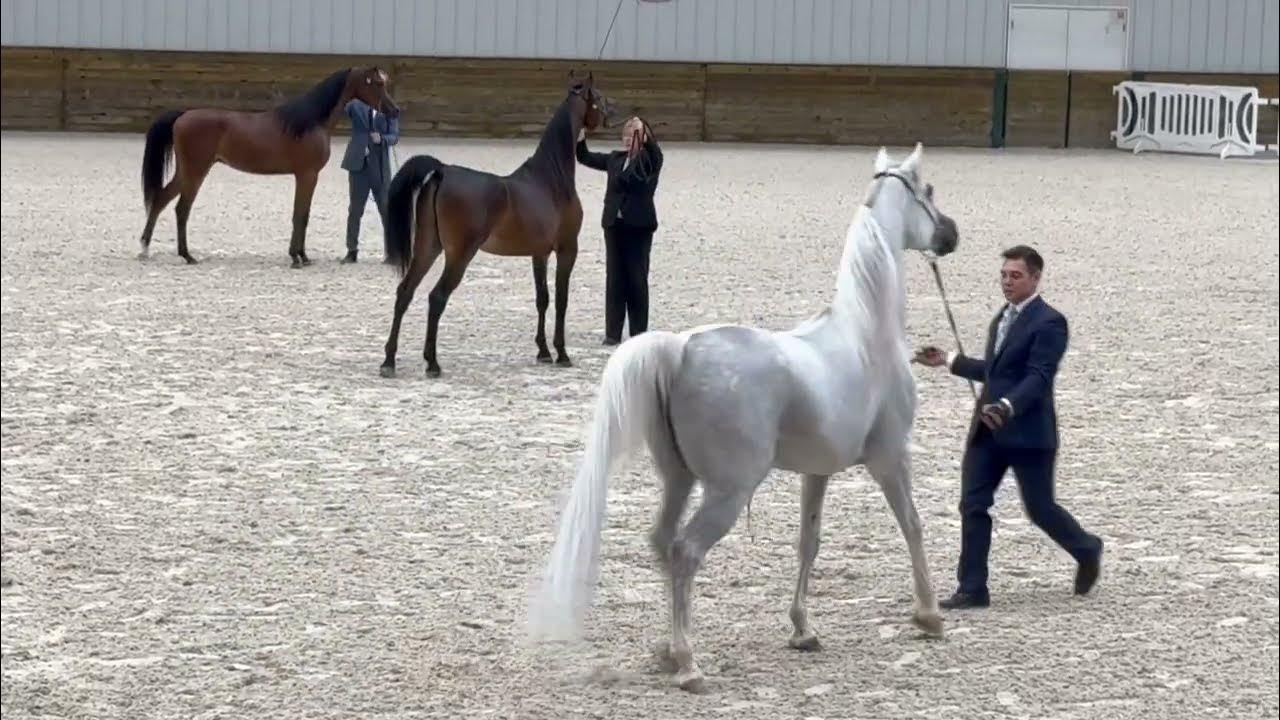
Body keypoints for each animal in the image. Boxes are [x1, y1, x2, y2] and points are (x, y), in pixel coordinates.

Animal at [137, 66, 398, 268]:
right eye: (377, 84)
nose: (395, 110)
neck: (310, 123)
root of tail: (183, 115)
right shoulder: (306, 175)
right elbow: (300, 215)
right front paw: (296, 258)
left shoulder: (306, 176)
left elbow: (304, 215)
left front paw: (303, 256)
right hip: (196, 171)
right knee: (182, 209)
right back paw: (187, 256)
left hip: (185, 171)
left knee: (160, 199)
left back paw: (145, 249)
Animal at [378, 70, 617, 378]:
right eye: (598, 97)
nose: (614, 113)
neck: (551, 180)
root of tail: (442, 171)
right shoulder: (567, 249)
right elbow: (561, 300)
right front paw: (561, 353)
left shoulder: (539, 252)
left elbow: (542, 298)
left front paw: (543, 352)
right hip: (459, 255)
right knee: (436, 297)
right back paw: (432, 363)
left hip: (428, 247)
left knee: (405, 292)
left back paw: (389, 361)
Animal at [526, 143, 960, 692]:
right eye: (928, 190)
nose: (950, 233)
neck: (866, 333)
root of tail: (680, 349)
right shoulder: (890, 459)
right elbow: (913, 526)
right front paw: (929, 615)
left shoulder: (817, 472)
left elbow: (808, 542)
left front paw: (802, 630)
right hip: (729, 492)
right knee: (686, 551)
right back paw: (689, 664)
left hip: (679, 479)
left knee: (662, 542)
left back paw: (668, 650)